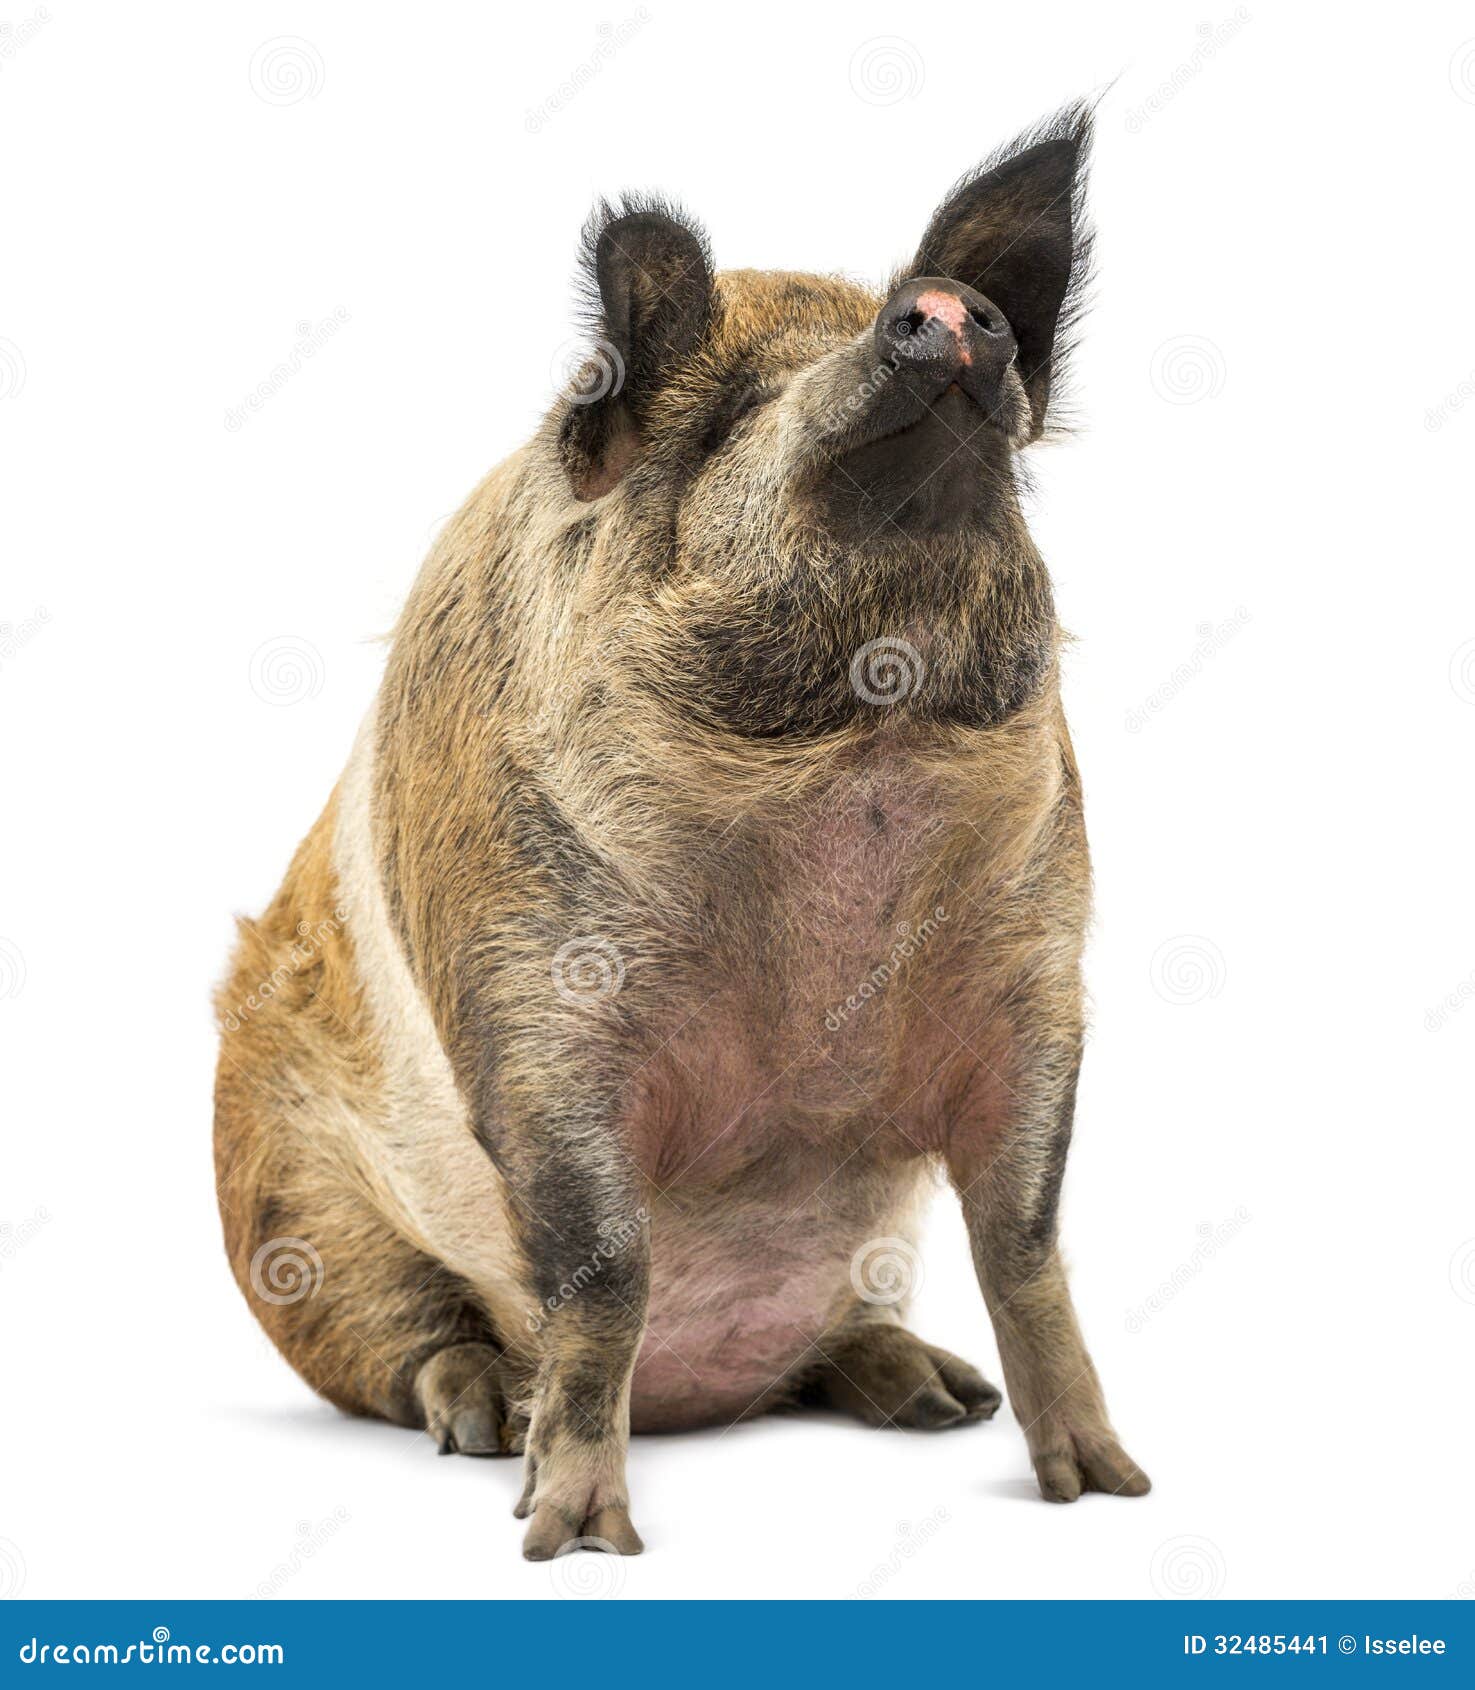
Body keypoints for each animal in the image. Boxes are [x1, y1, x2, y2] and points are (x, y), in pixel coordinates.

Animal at [214, 100, 1150, 1561]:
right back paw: (479, 1416)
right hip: (287, 1204)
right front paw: (572, 1540)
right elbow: (606, 1265)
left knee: (843, 1336)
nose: (943, 310)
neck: (846, 765)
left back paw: (937, 1394)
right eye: (724, 417)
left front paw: (1109, 1487)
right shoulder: (530, 991)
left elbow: (1024, 1233)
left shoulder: (1034, 965)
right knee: (403, 1330)